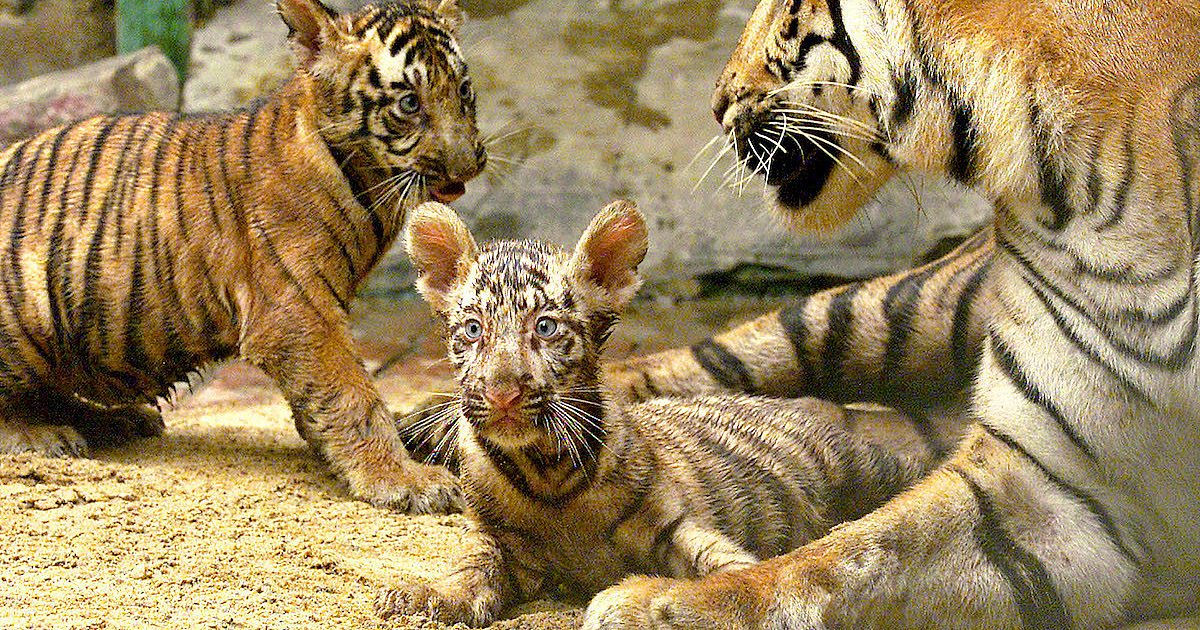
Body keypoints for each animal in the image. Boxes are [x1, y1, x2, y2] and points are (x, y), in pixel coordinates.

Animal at [0, 0, 485, 513]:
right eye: (410, 103)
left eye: (464, 90)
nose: (468, 164)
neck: (369, 181)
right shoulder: (298, 312)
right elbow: (350, 395)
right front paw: (403, 479)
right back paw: (42, 436)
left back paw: (121, 419)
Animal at [374, 200, 940, 627]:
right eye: (473, 330)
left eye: (546, 327)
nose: (502, 393)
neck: (546, 476)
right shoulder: (498, 542)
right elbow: (469, 568)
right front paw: (422, 596)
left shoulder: (675, 526)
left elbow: (729, 572)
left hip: (857, 463)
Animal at [582, 0, 1200, 628]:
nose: (715, 105)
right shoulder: (1052, 477)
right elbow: (838, 558)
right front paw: (655, 603)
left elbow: (856, 558)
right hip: (888, 310)